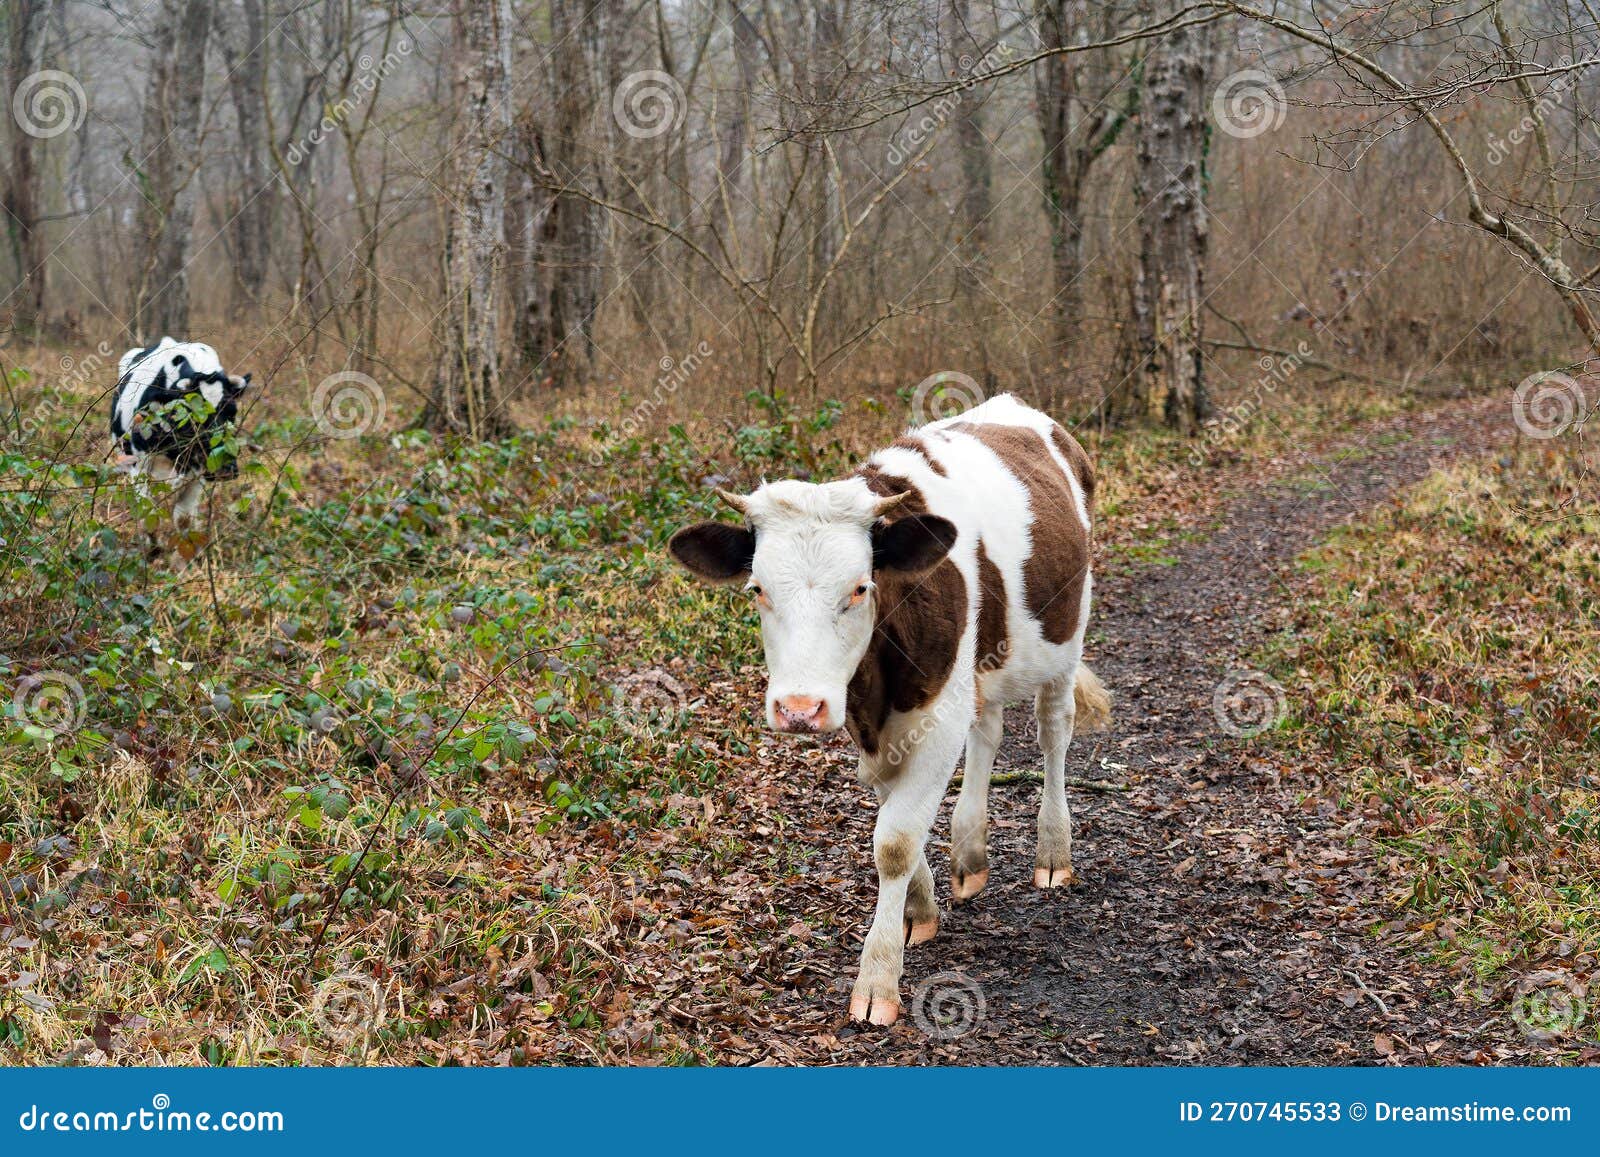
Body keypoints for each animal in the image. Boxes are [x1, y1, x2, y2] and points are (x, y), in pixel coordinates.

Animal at [110, 337, 252, 529]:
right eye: (192, 414)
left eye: (232, 412)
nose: (225, 468)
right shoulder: (139, 466)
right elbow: (148, 517)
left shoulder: (197, 474)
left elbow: (183, 519)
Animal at [668, 393, 1111, 1025]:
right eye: (757, 589)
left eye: (859, 587)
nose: (798, 708)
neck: (876, 686)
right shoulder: (873, 723)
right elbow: (893, 814)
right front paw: (920, 910)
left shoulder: (936, 717)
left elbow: (894, 842)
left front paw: (878, 980)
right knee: (989, 731)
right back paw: (969, 852)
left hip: (1066, 637)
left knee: (1054, 732)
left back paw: (1053, 851)